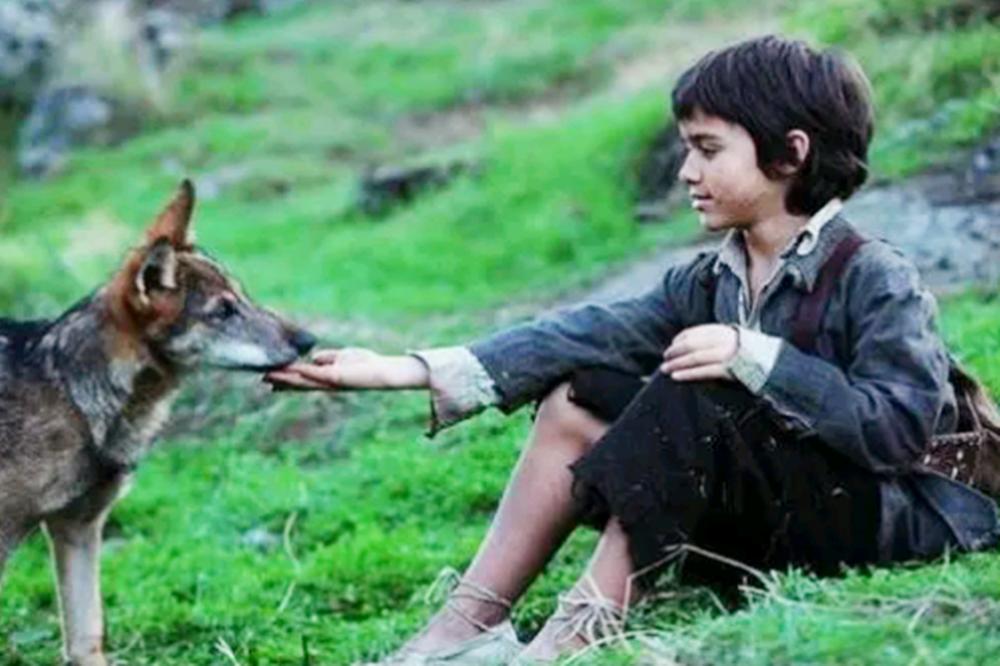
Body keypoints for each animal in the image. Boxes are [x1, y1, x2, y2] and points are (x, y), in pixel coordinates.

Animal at [0, 180, 315, 665]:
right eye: (223, 312)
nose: (309, 340)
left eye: (243, 298)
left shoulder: (78, 529)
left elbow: (88, 640)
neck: (70, 394)